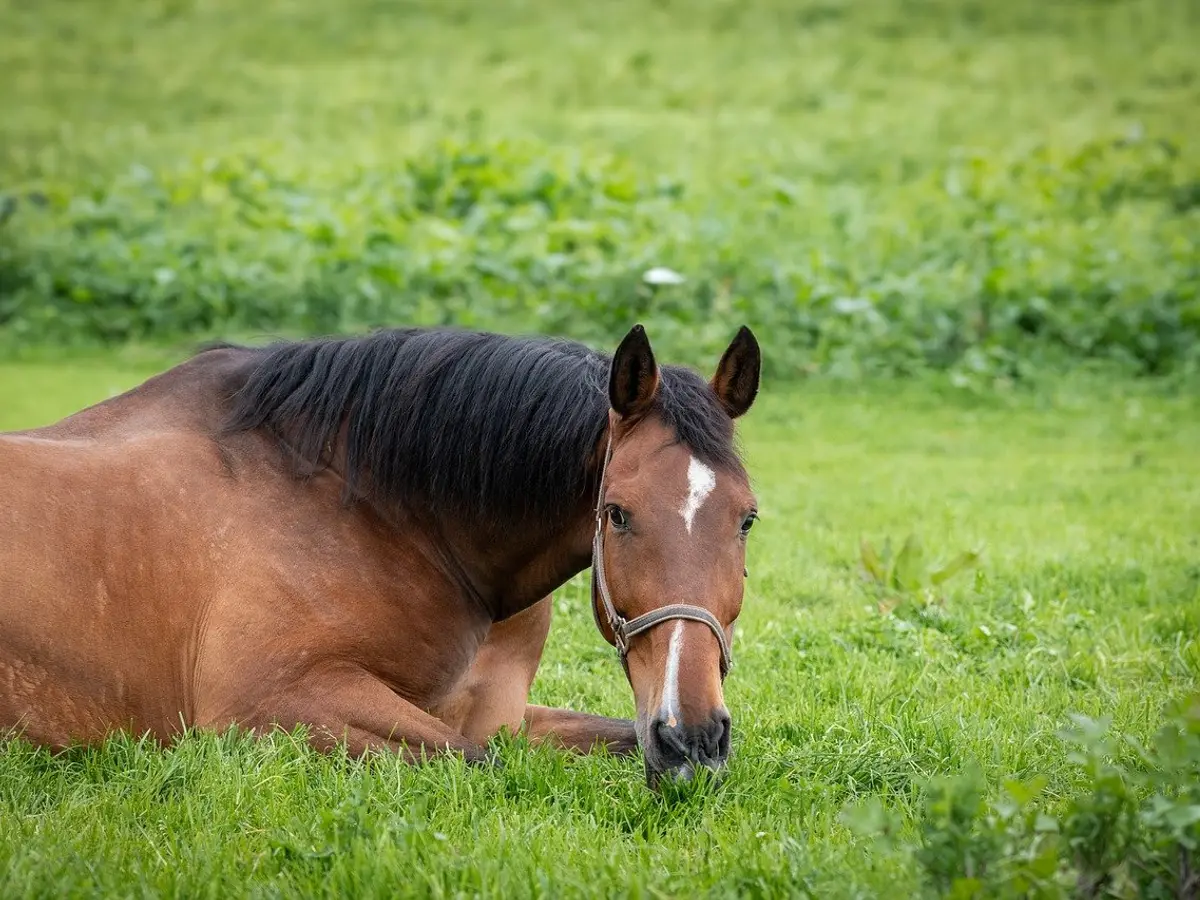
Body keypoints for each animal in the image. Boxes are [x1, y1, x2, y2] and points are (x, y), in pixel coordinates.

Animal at [0, 323, 760, 788]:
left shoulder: (505, 715)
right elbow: (479, 763)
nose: (692, 737)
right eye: (617, 514)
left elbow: (605, 736)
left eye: (747, 519)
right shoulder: (269, 704)